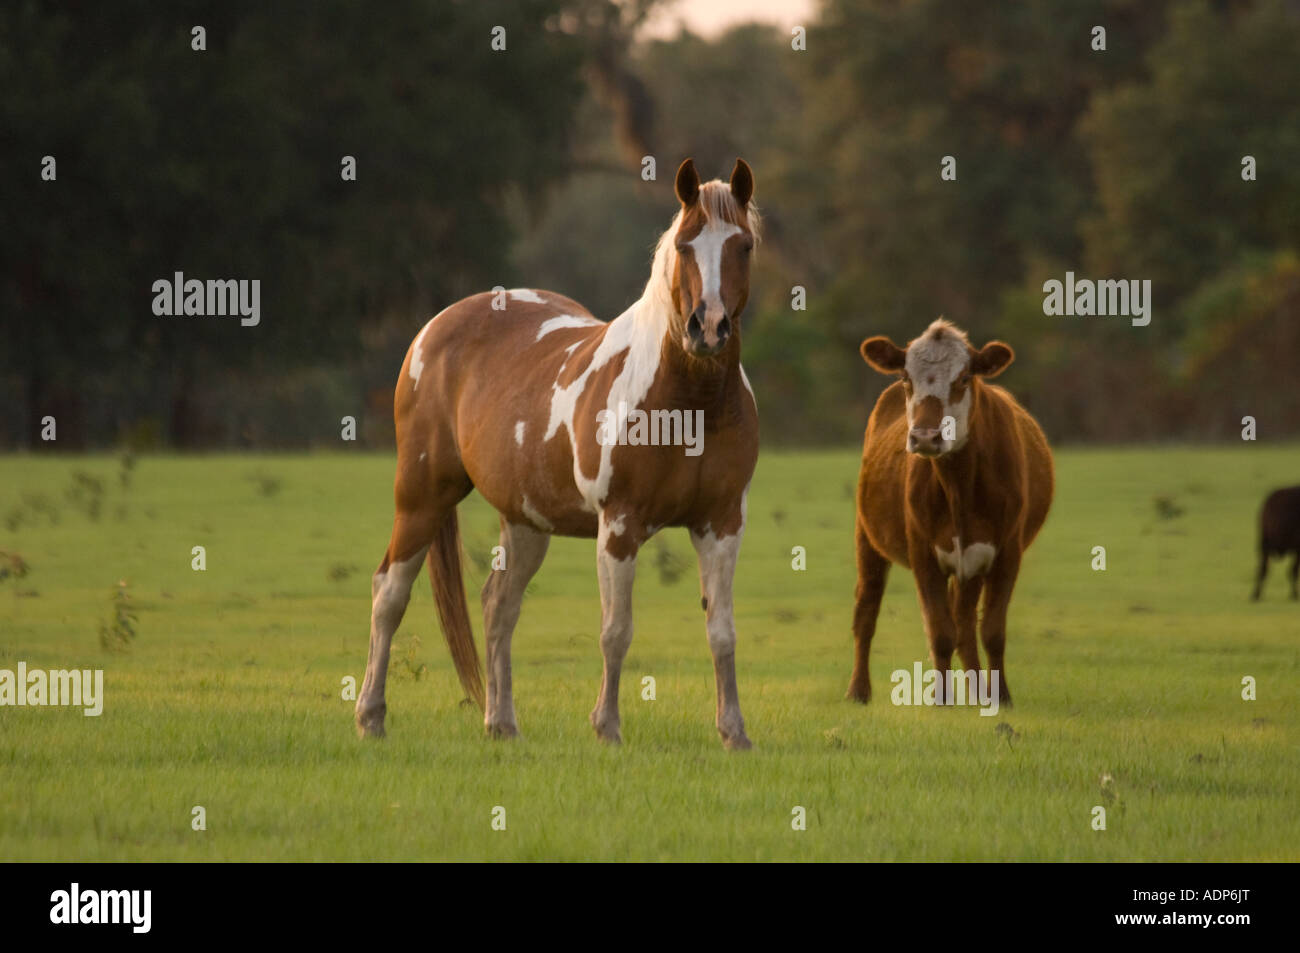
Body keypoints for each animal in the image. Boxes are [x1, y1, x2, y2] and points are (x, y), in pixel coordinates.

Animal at [355, 158, 761, 749]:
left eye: (743, 245)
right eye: (686, 245)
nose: (707, 328)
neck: (690, 404)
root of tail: (433, 329)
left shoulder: (721, 523)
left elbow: (723, 631)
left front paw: (734, 732)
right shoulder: (619, 525)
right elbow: (616, 631)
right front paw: (607, 726)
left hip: (526, 520)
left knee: (498, 606)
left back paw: (501, 723)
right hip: (422, 495)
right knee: (389, 593)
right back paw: (371, 716)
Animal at [847, 318, 1053, 706]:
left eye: (963, 378)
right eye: (906, 377)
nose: (926, 437)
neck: (960, 486)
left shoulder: (1007, 552)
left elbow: (992, 631)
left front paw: (1001, 696)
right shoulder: (923, 552)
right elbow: (940, 631)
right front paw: (941, 699)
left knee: (966, 623)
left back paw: (978, 692)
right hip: (867, 537)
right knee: (867, 612)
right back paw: (858, 690)